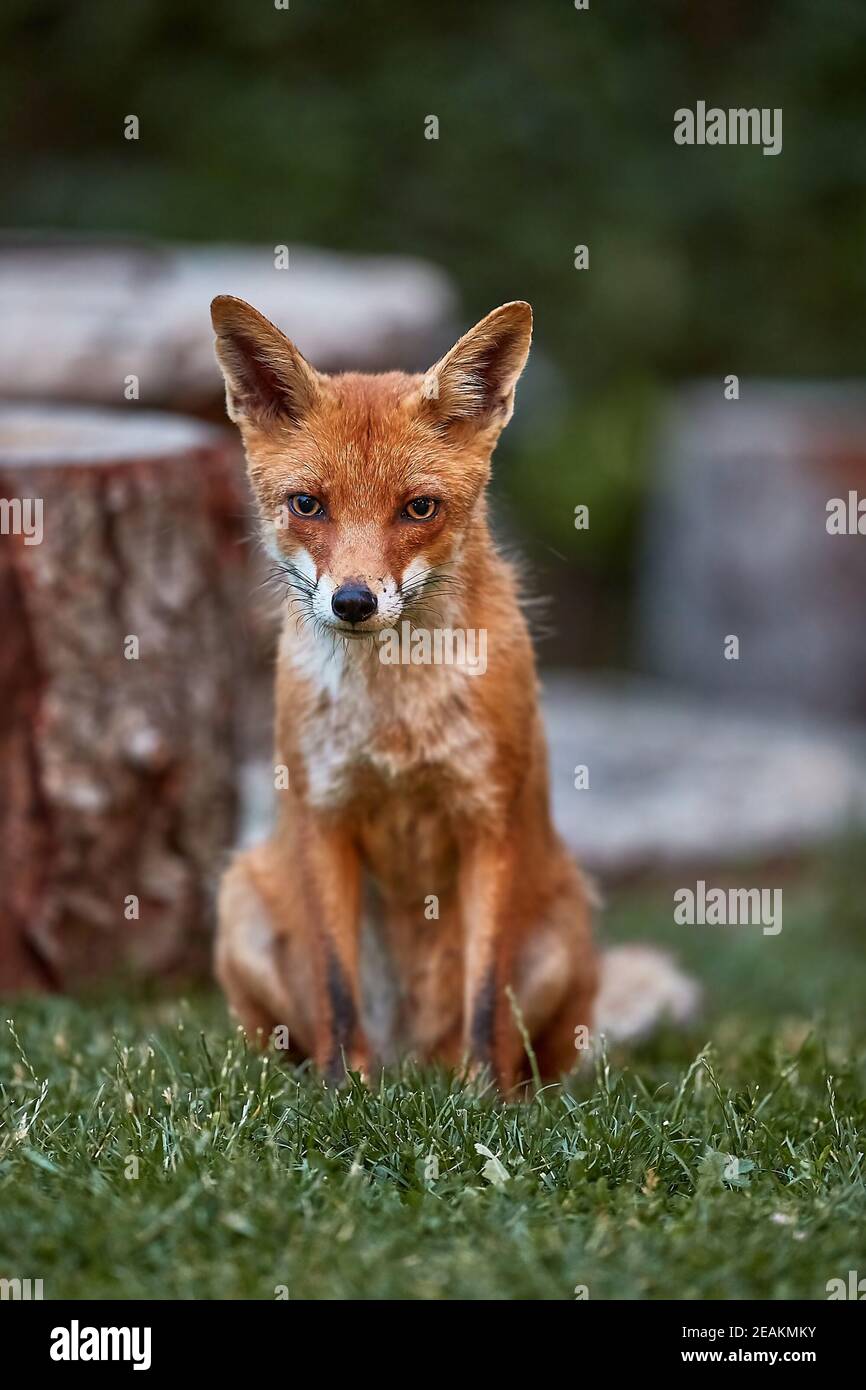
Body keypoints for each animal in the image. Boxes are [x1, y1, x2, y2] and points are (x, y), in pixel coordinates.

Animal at [210, 295, 697, 1090]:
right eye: (307, 504)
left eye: (419, 509)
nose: (353, 602)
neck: (395, 715)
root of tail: (412, 1058)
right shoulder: (324, 815)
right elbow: (336, 989)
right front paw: (344, 1092)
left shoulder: (487, 820)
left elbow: (486, 995)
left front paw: (482, 1099)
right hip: (239, 900)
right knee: (290, 1034)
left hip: (563, 928)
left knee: (539, 1051)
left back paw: (504, 1089)